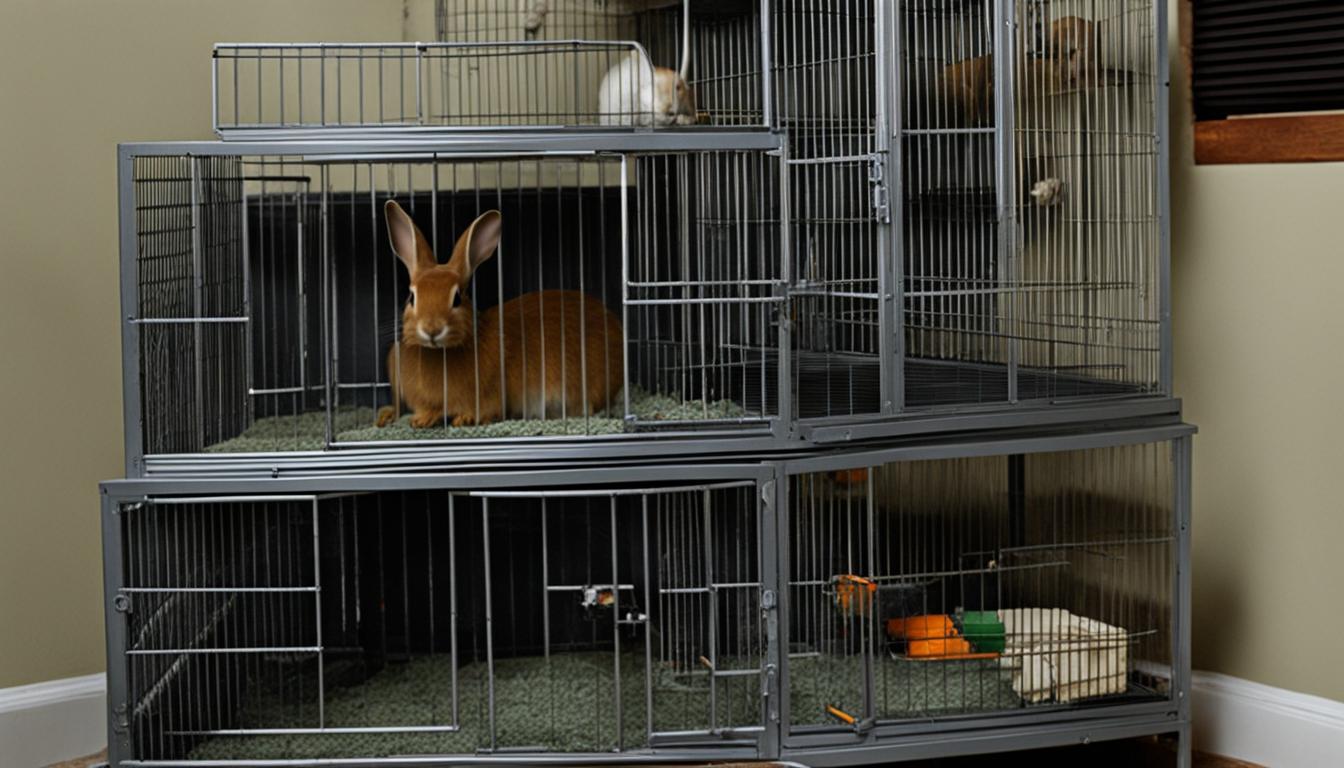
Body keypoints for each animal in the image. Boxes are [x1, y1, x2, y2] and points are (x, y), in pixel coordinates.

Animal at [376, 201, 625, 430]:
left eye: (457, 298)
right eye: (411, 297)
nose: (432, 329)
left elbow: (486, 411)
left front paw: (463, 419)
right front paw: (421, 420)